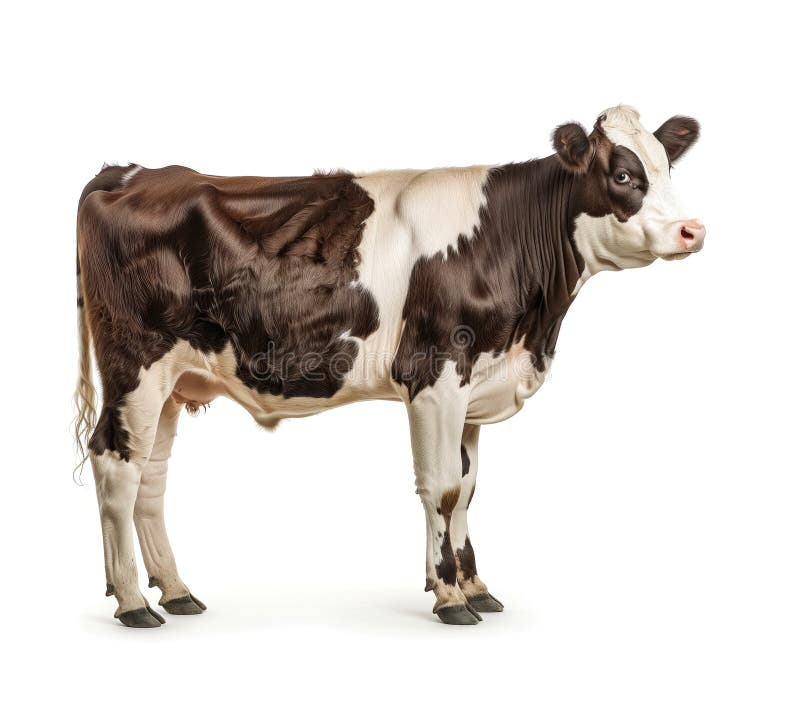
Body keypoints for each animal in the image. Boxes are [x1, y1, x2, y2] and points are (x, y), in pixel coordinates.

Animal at [74, 105, 705, 627]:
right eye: (622, 175)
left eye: (666, 167)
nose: (692, 230)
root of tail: (131, 173)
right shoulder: (433, 373)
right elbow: (442, 488)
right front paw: (450, 597)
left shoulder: (472, 386)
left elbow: (467, 489)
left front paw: (476, 588)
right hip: (135, 363)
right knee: (115, 464)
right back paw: (132, 602)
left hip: (174, 381)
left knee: (150, 476)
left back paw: (176, 592)